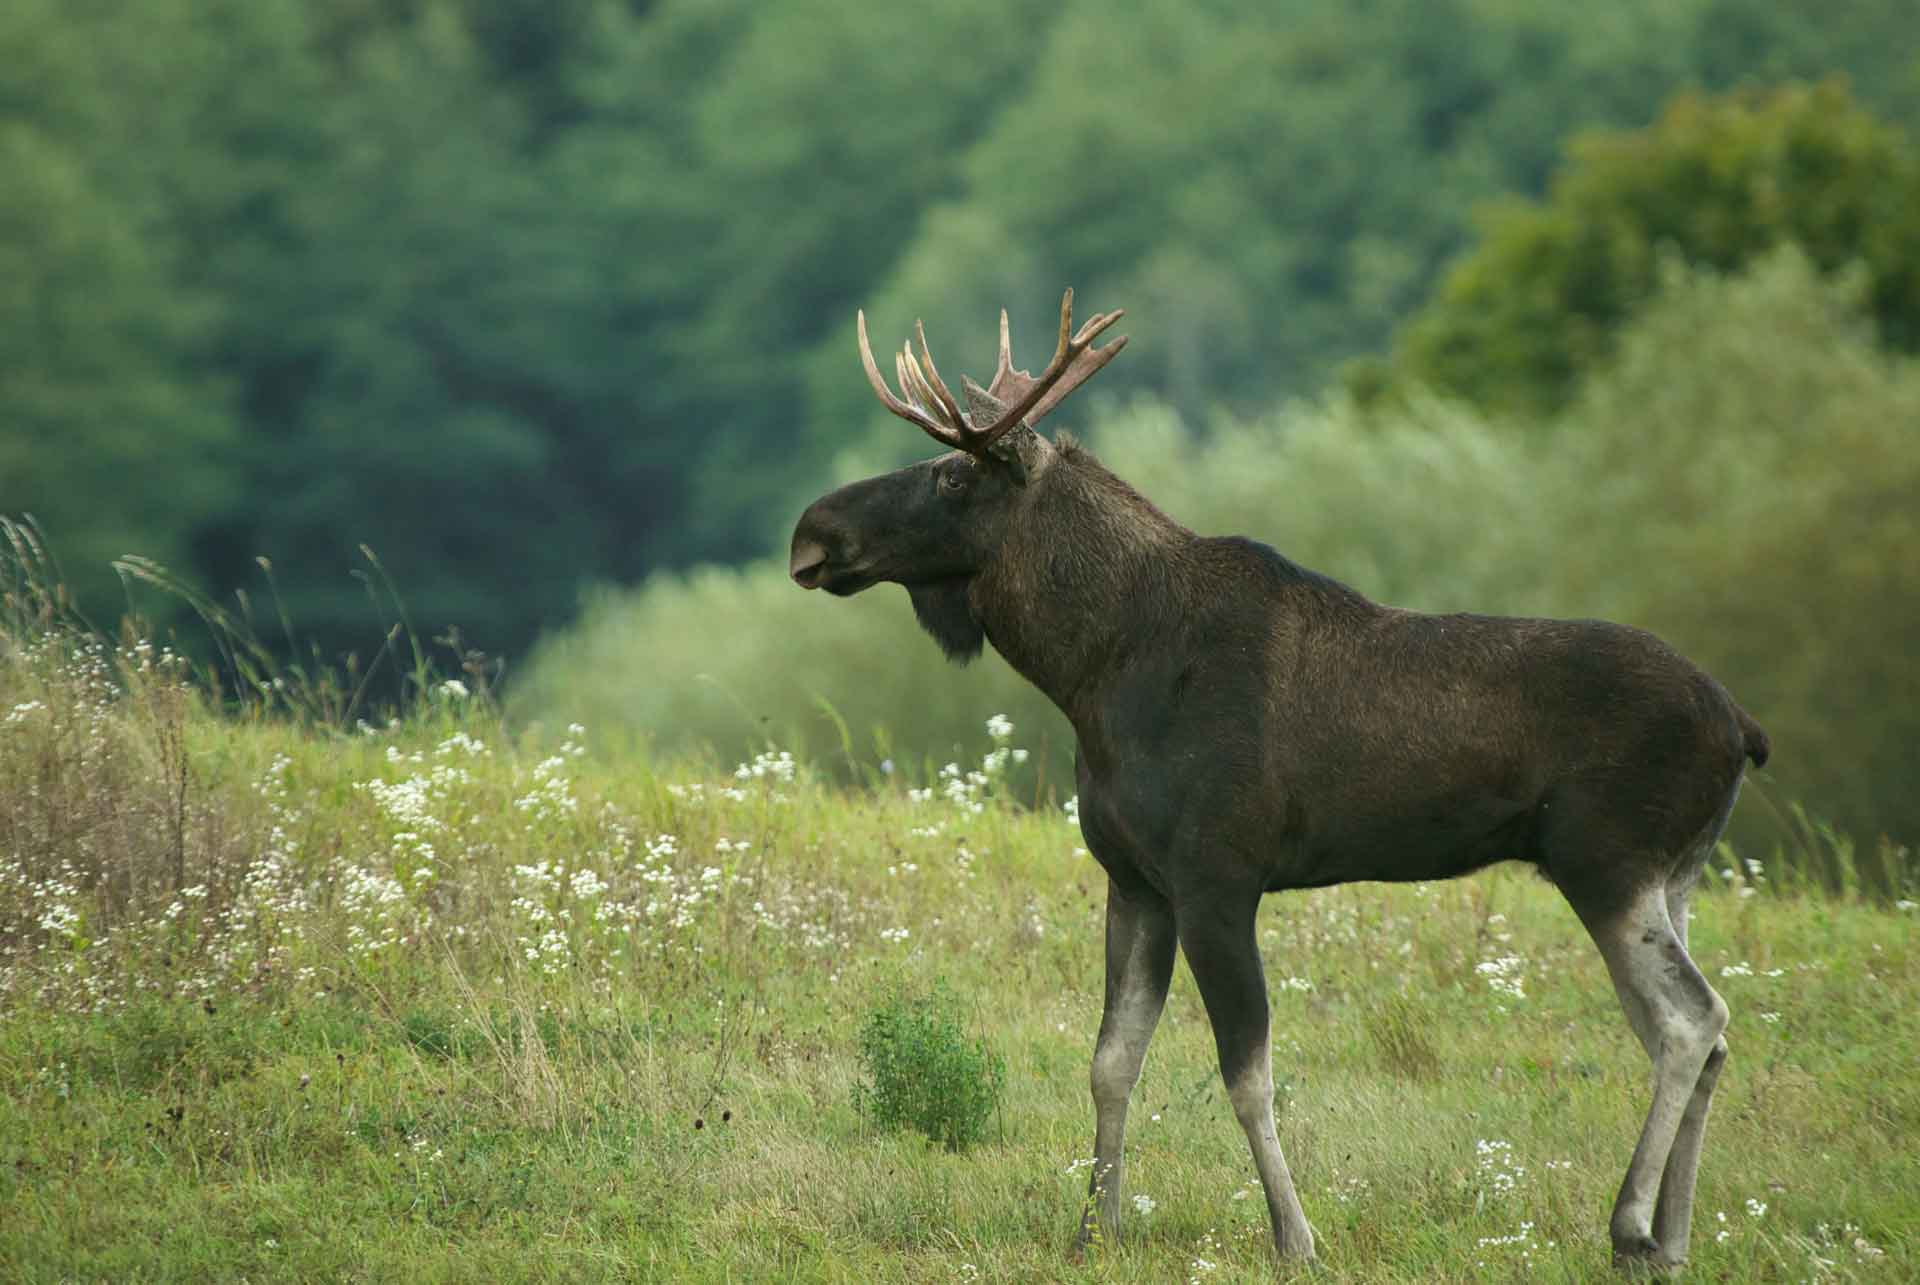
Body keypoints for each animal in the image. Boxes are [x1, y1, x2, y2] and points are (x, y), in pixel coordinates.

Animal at [788, 290, 1770, 1273]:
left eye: (954, 476)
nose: (812, 531)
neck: (1094, 673)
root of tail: (1743, 727)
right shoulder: (1134, 880)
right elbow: (1111, 1061)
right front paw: (1094, 1228)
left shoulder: (1216, 877)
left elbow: (1246, 1072)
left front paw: (1294, 1236)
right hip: (1673, 877)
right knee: (1699, 1036)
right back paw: (1673, 1239)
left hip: (1606, 861)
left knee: (1692, 1020)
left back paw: (1631, 1224)